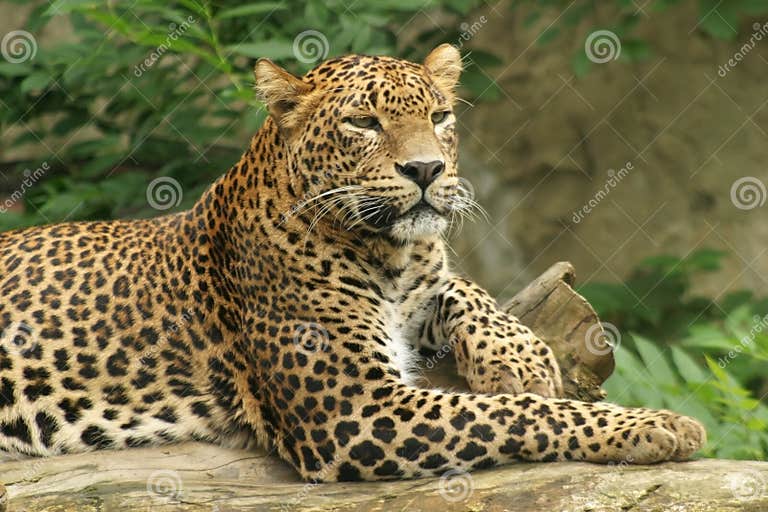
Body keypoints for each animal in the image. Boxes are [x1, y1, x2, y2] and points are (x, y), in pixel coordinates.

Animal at [0, 44, 705, 482]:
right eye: (363, 123)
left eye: (440, 116)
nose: (427, 170)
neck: (385, 250)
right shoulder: (355, 409)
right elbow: (516, 414)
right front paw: (655, 426)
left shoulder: (420, 287)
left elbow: (462, 287)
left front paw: (518, 355)